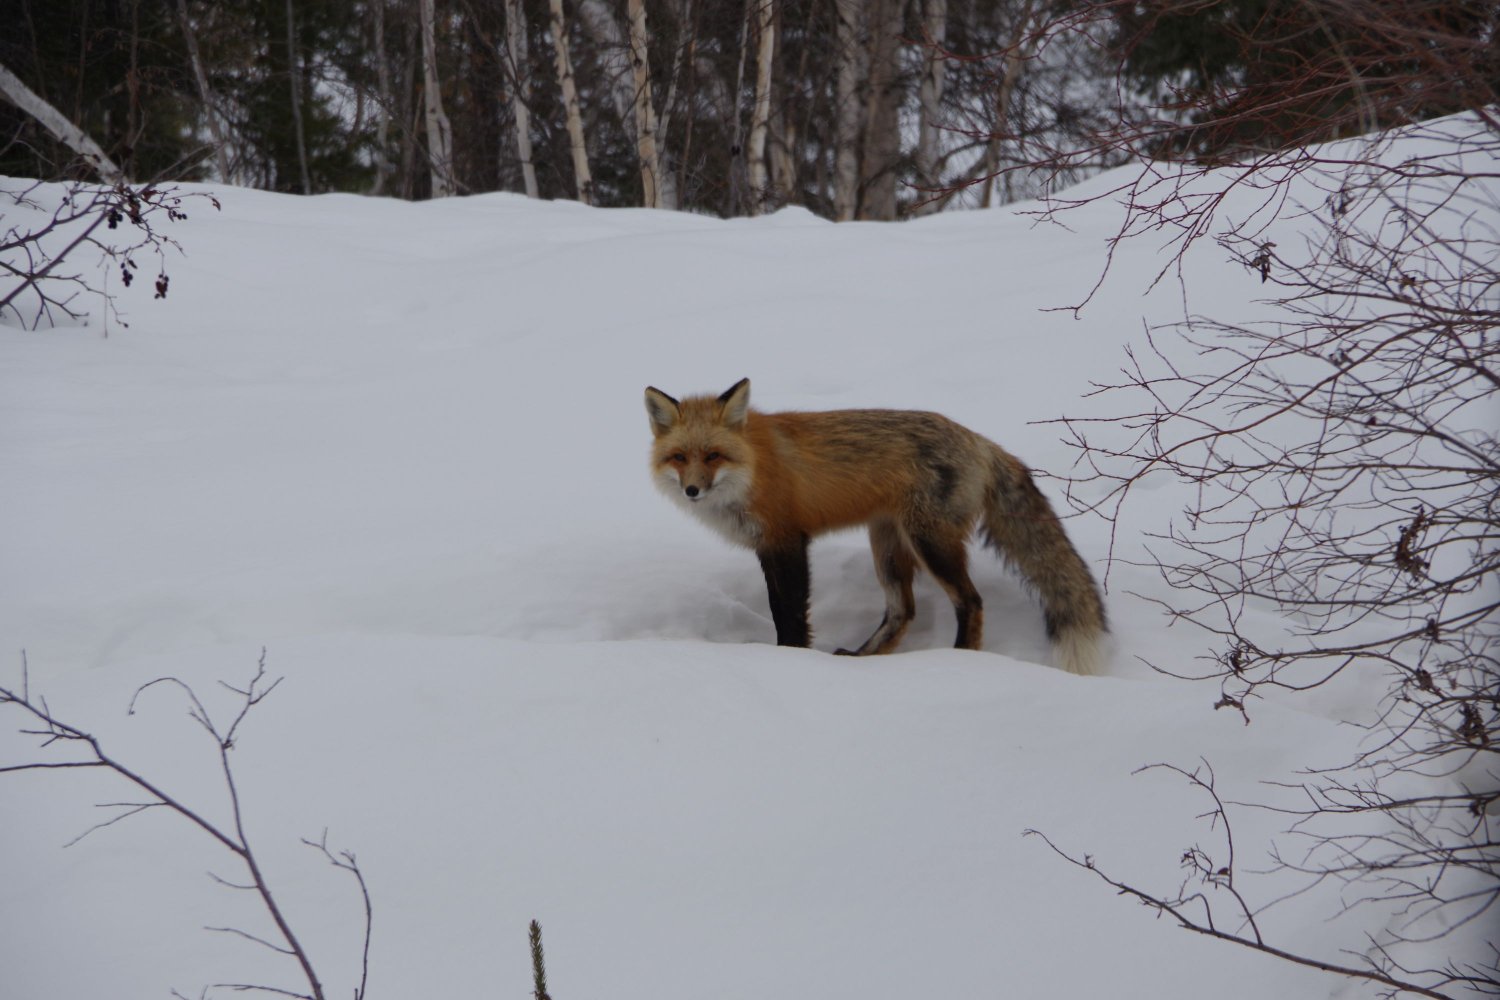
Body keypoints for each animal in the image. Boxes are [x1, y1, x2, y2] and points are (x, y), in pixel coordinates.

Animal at [644, 378, 1107, 674]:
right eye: (679, 457)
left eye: (714, 456)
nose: (692, 490)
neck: (753, 467)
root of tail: (981, 441)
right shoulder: (767, 546)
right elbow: (781, 608)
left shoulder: (788, 540)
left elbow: (789, 613)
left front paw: (791, 658)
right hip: (887, 545)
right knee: (903, 611)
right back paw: (863, 658)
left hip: (930, 542)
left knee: (970, 602)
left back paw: (960, 660)